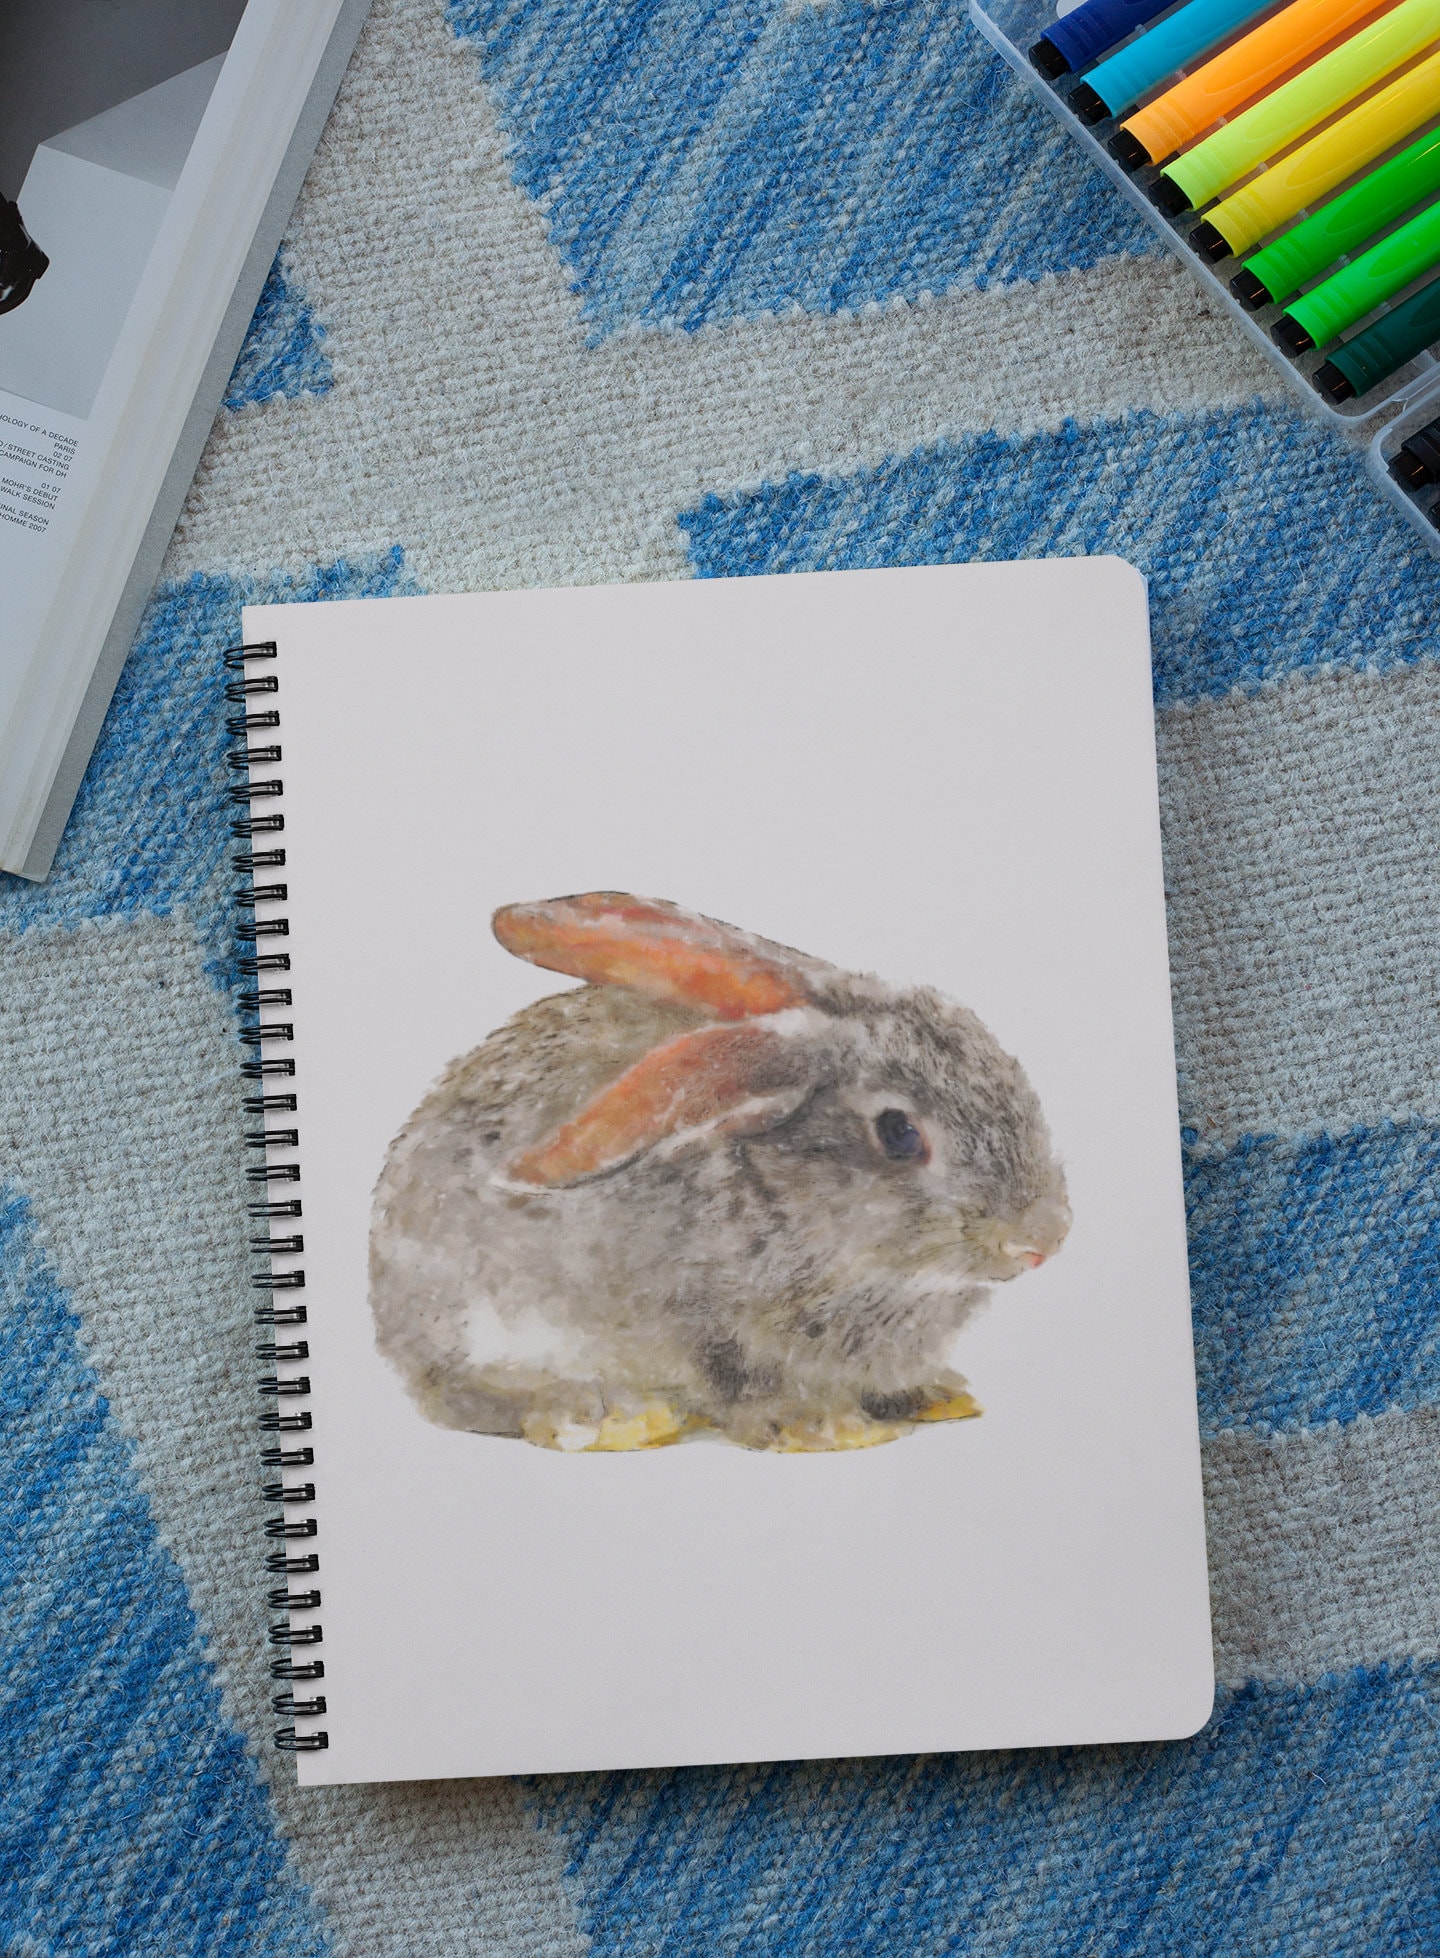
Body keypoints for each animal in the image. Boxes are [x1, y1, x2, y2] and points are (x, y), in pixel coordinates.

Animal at [370, 893, 1070, 1452]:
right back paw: (590, 1412)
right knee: (460, 1394)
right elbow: (736, 1383)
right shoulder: (697, 1322)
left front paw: (933, 1395)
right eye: (899, 1133)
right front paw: (814, 1426)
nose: (1041, 1240)